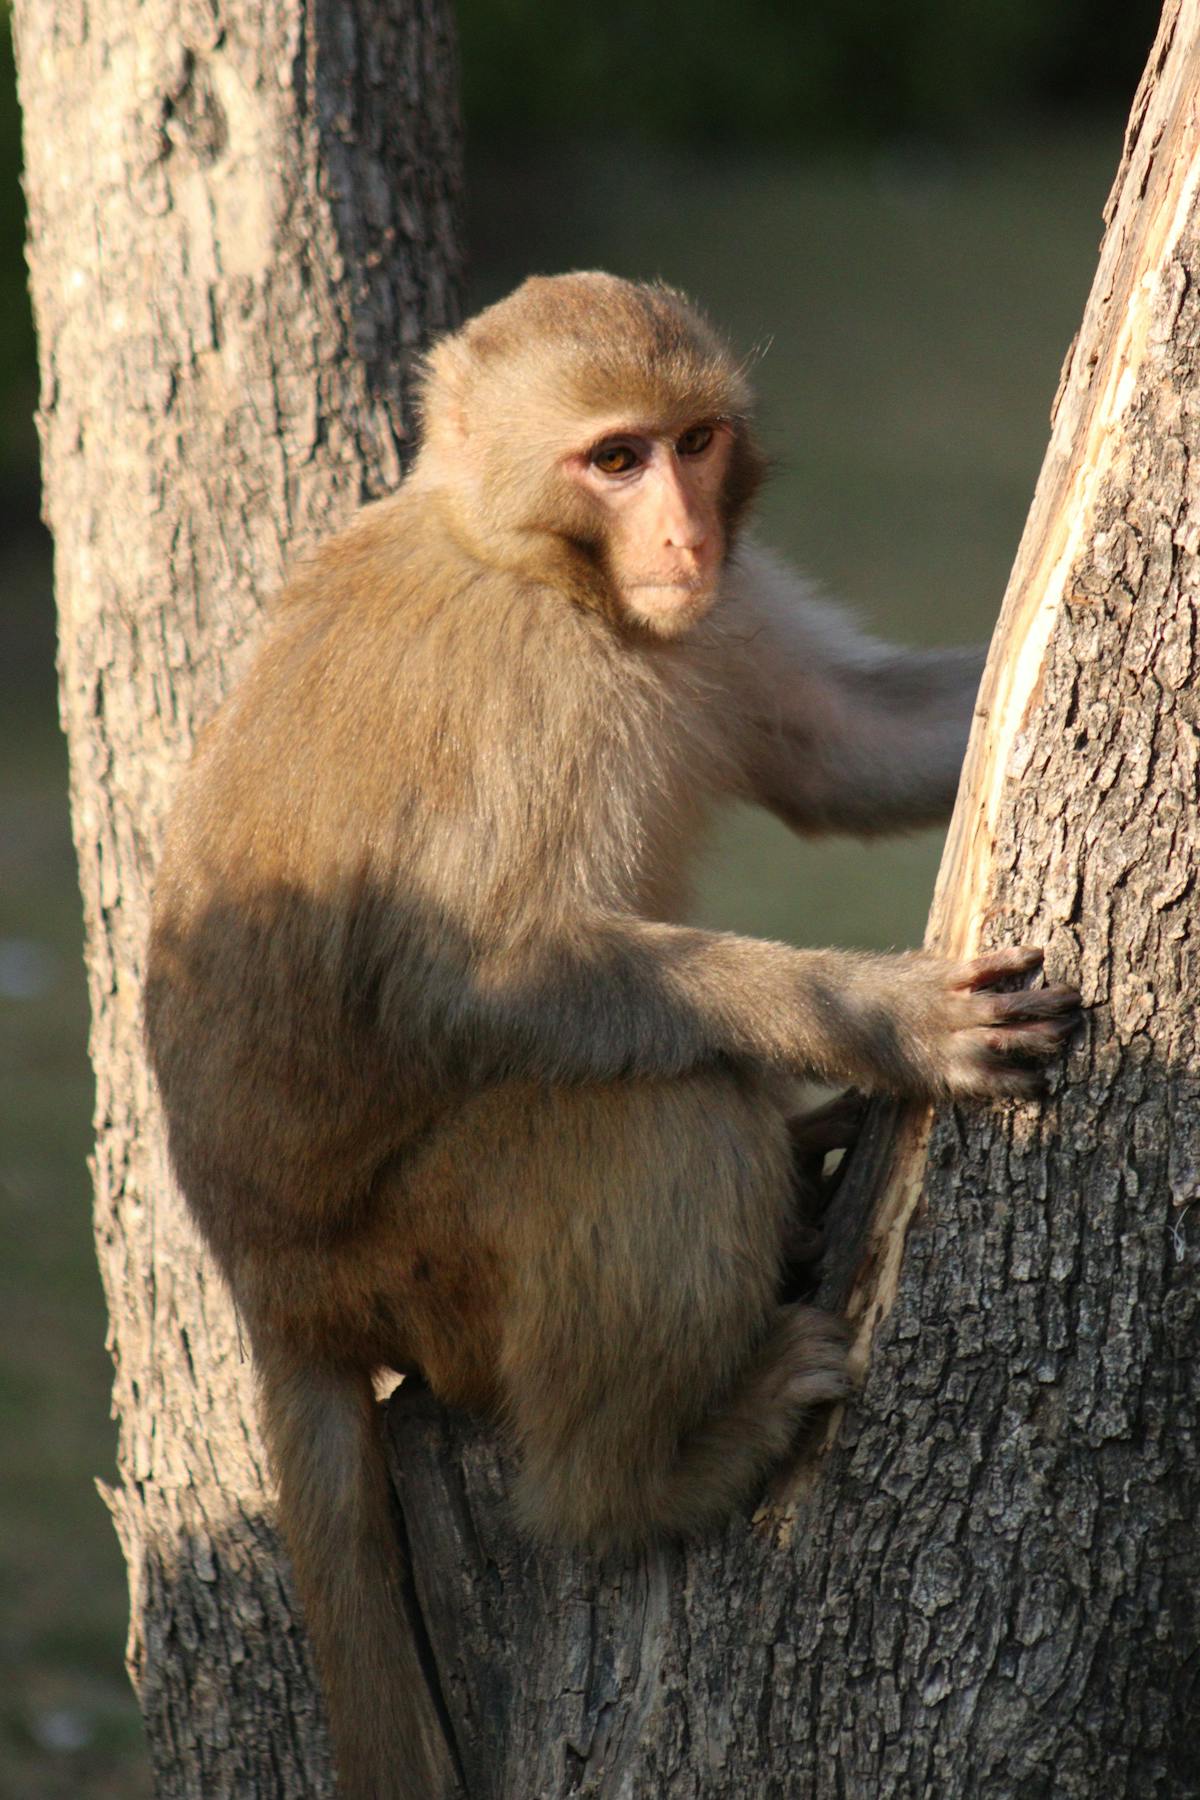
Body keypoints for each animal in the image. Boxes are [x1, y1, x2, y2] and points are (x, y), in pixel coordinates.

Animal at [144, 272, 1080, 1799]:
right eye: (616, 459)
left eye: (694, 442)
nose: (685, 534)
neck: (540, 568)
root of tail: (262, 1289)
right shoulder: (530, 692)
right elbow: (478, 979)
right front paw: (887, 1017)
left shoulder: (711, 613)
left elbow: (846, 746)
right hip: (414, 1275)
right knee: (648, 1111)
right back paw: (631, 1485)